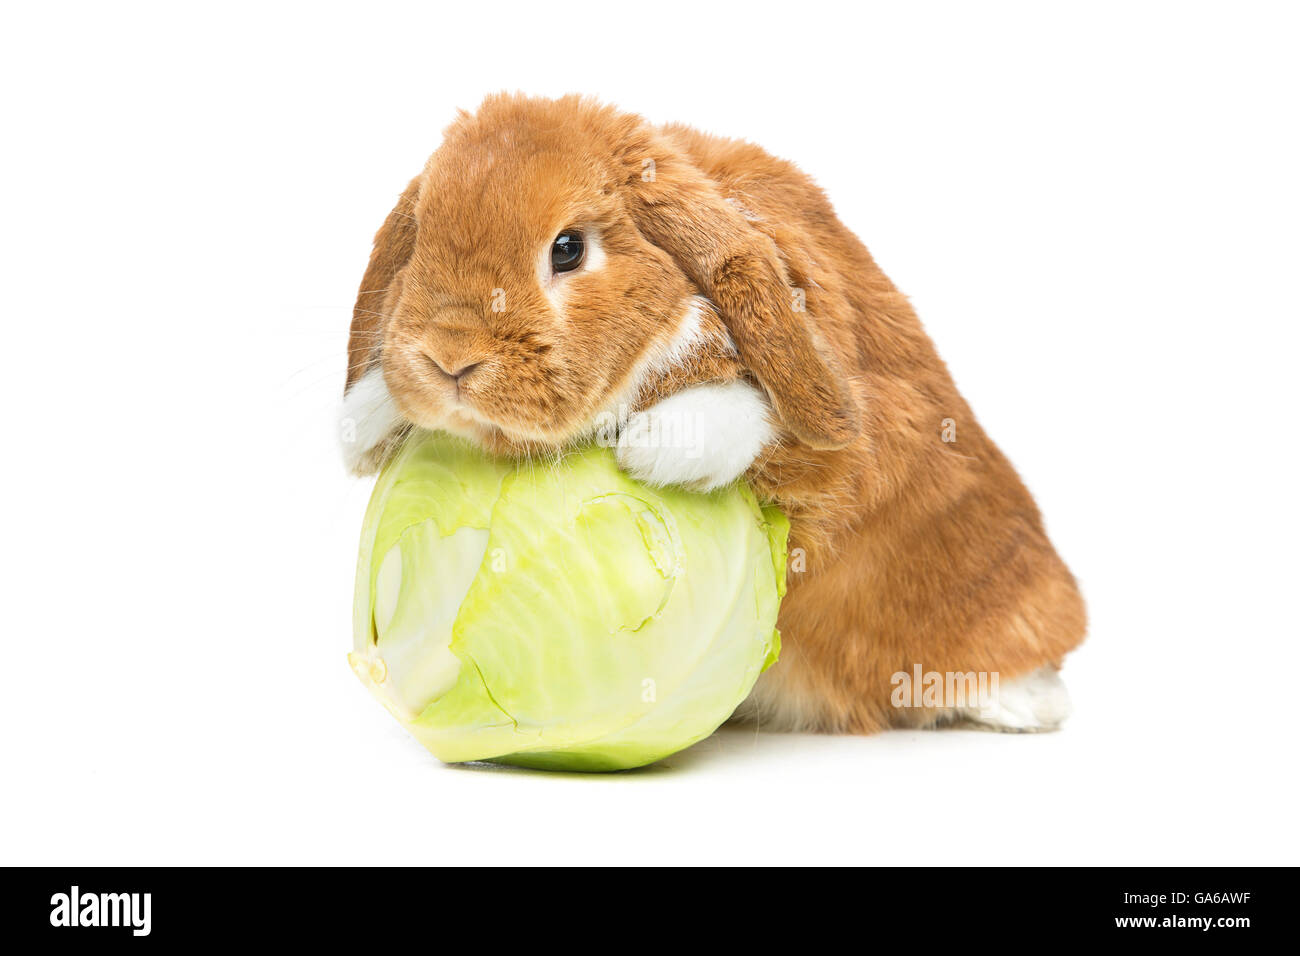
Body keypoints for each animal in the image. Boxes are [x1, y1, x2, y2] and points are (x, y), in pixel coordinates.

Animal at [341, 93, 1086, 734]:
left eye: (568, 248)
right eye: (420, 240)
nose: (450, 359)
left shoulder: (843, 446)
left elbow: (766, 425)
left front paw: (656, 446)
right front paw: (368, 421)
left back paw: (1025, 705)